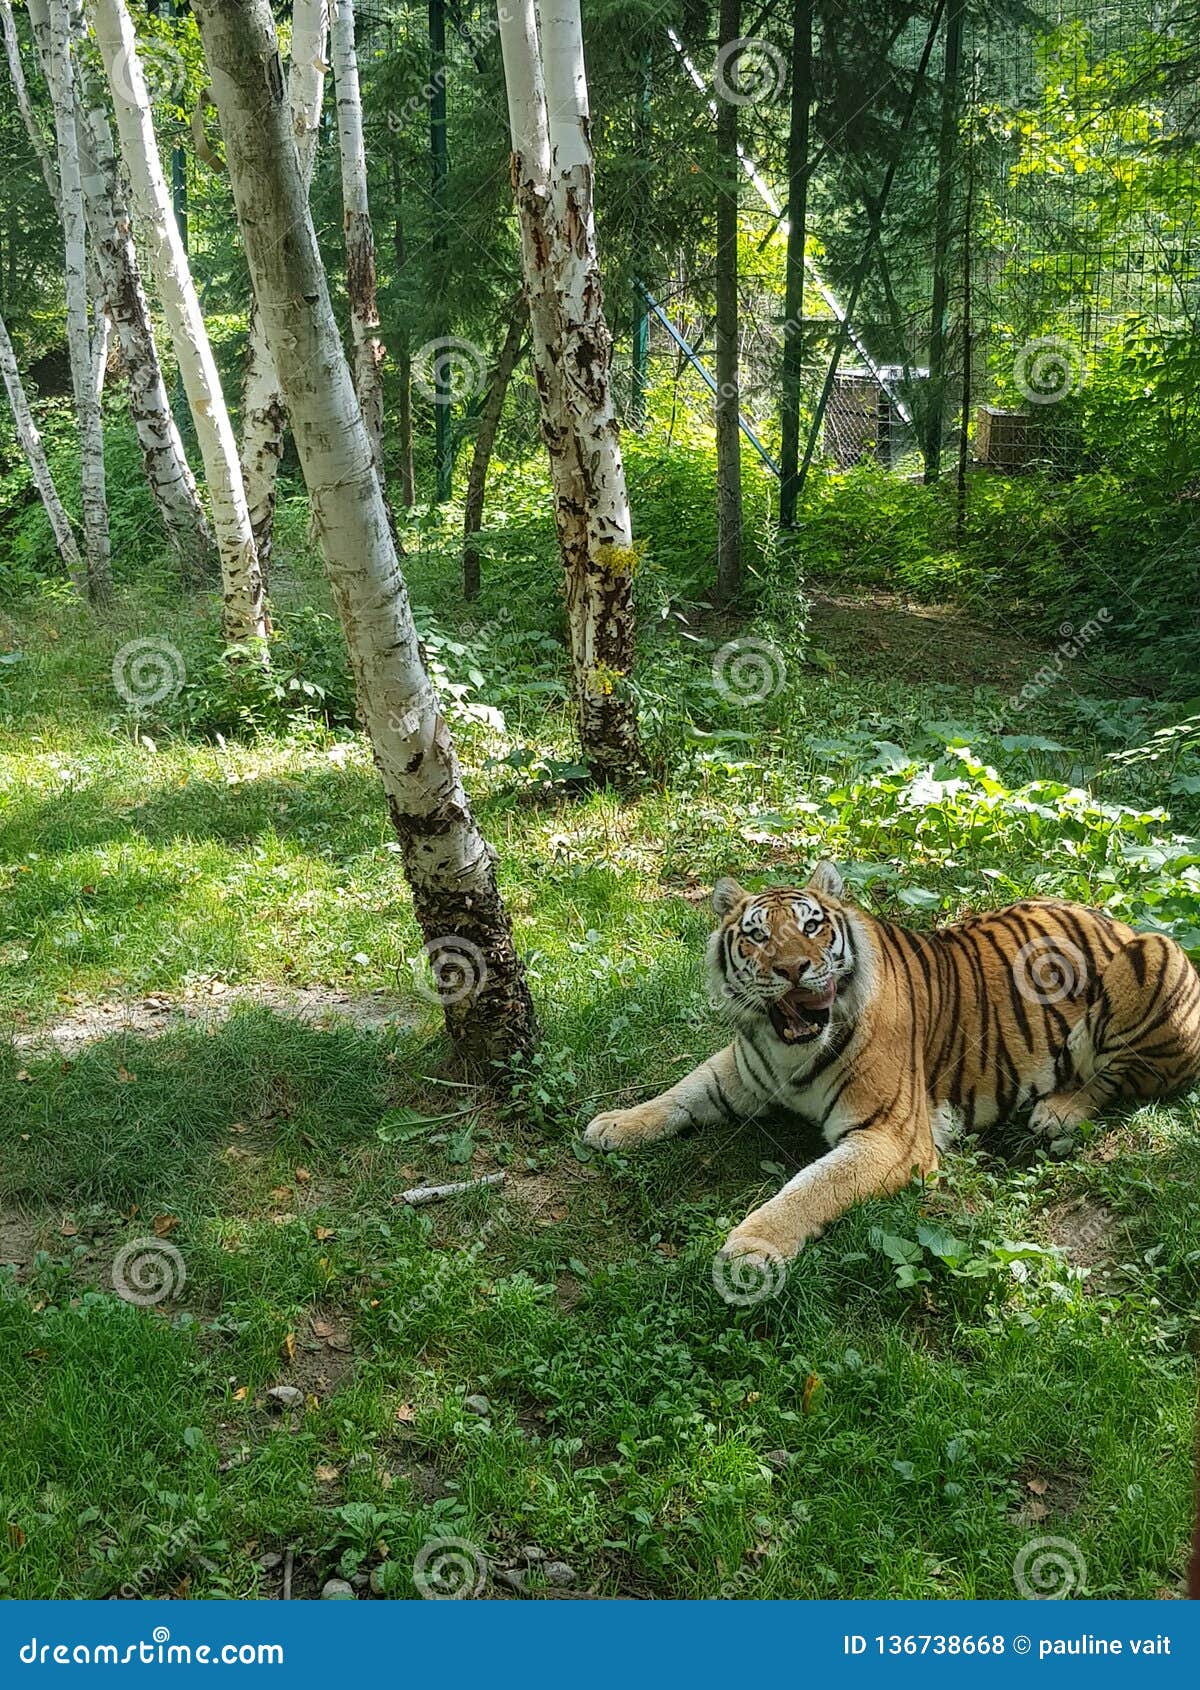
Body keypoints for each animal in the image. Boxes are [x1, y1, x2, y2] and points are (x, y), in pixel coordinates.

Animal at [584, 861, 1200, 1268]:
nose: (792, 968)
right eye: (756, 936)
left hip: (1155, 956)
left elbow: (808, 1189)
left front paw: (749, 1249)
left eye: (812, 927)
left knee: (1122, 1075)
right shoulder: (739, 1071)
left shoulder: (889, 1137)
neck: (790, 1050)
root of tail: (1117, 921)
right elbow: (681, 1092)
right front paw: (615, 1124)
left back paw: (1060, 1111)